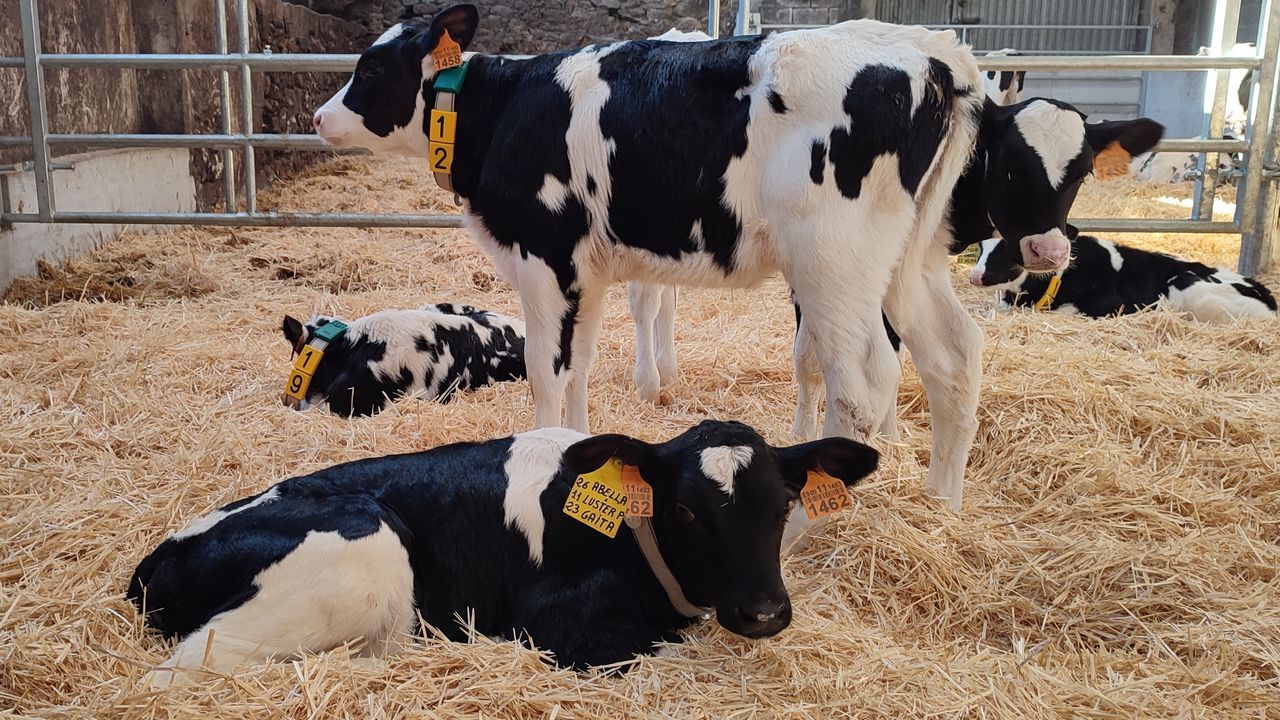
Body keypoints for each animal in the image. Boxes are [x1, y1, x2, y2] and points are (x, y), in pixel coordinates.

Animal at [127, 420, 880, 686]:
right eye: (687, 510)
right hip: (363, 555)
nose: (763, 613)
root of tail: (162, 552)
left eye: (783, 506)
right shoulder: (559, 629)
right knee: (185, 667)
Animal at [312, 5, 1163, 511]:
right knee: (954, 359)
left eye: (372, 69)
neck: (502, 111)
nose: (319, 118)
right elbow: (579, 369)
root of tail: (934, 54)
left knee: (863, 384)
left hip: (833, 258)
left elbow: (547, 376)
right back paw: (941, 506)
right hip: (907, 259)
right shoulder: (584, 268)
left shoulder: (543, 257)